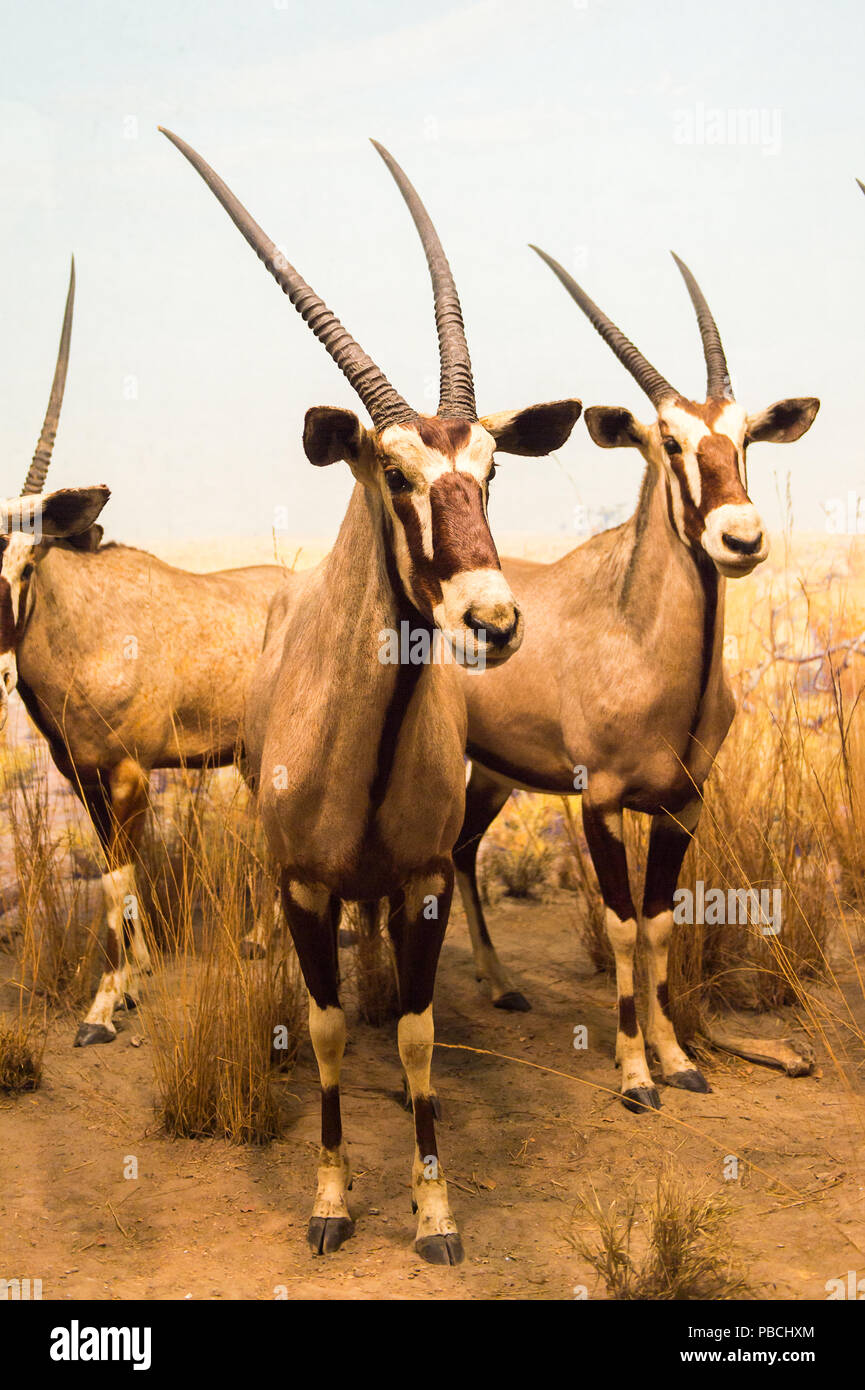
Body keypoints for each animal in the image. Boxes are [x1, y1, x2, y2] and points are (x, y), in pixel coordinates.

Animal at [2, 260, 287, 1046]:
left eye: (24, 565)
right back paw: (258, 938)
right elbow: (114, 880)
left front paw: (104, 1004)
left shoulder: (129, 778)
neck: (88, 631)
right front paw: (136, 979)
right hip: (251, 759)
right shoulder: (83, 780)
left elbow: (120, 880)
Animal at [161, 126, 581, 1263]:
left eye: (491, 470)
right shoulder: (305, 888)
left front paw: (434, 1211)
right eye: (394, 475)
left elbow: (418, 1031)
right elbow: (324, 1026)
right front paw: (331, 1199)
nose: (495, 619)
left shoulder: (423, 883)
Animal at [450, 248, 819, 1113]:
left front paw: (676, 1059)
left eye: (745, 439)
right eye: (669, 445)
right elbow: (620, 926)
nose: (739, 538)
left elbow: (656, 925)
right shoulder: (601, 803)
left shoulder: (683, 804)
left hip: (492, 774)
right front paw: (632, 1075)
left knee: (460, 851)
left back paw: (500, 984)